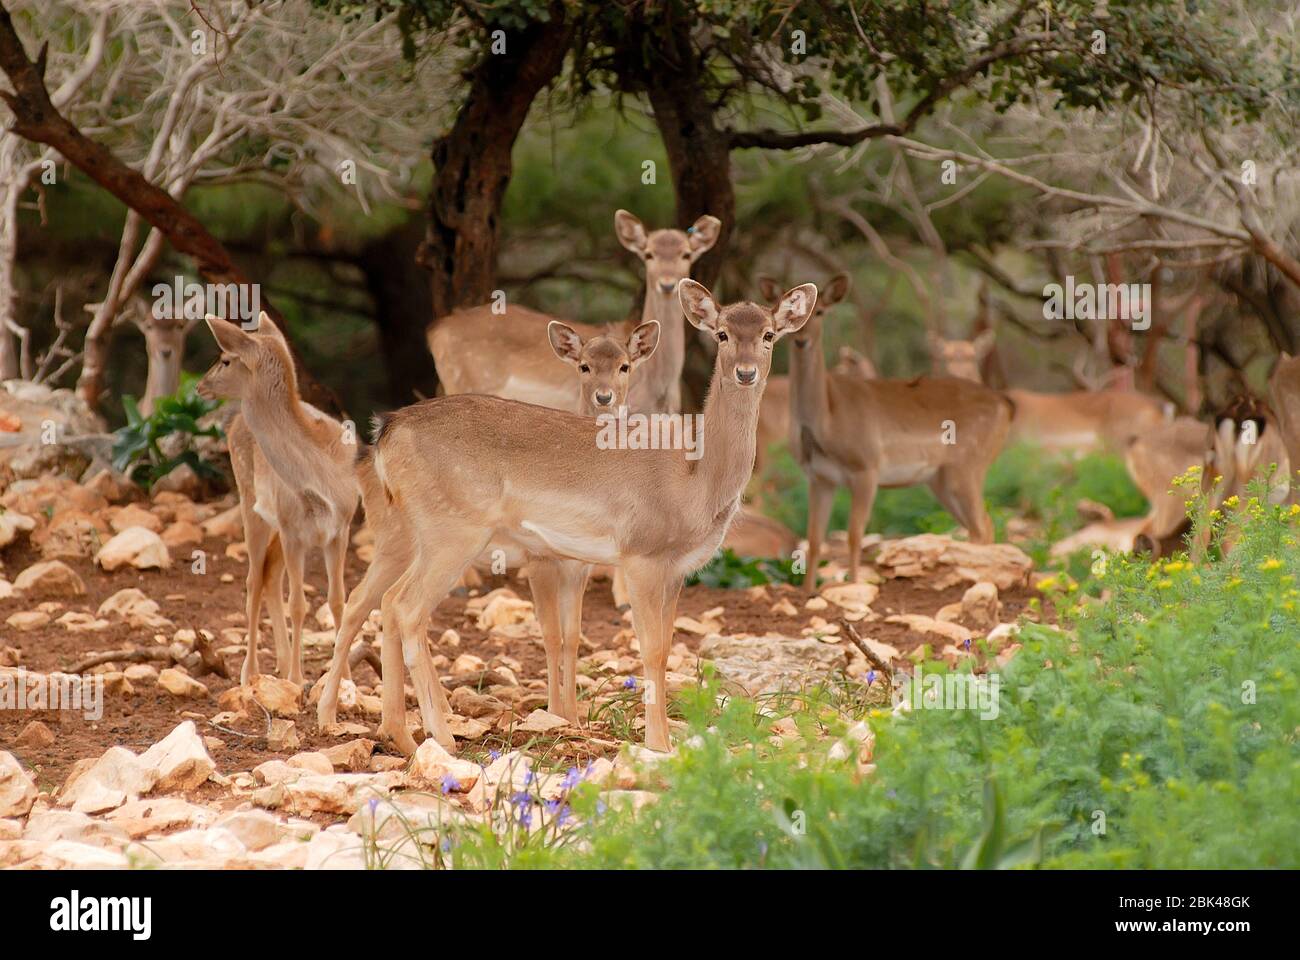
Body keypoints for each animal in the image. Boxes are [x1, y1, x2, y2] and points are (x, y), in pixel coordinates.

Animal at [192, 310, 358, 686]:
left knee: (269, 575)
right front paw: (297, 680)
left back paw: (280, 663)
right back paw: (251, 672)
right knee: (253, 580)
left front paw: (346, 678)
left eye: (225, 359)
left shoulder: (340, 528)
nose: (199, 385)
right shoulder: (292, 530)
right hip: (250, 501)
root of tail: (236, 423)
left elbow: (337, 600)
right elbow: (299, 603)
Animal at [313, 314, 660, 749]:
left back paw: (366, 720)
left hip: (407, 543)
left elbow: (573, 634)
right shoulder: (539, 558)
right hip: (419, 538)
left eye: (625, 366)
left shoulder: (578, 564)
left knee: (371, 601)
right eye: (583, 365)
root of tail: (381, 435)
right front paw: (556, 714)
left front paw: (574, 716)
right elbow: (551, 634)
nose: (604, 398)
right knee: (389, 604)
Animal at [369, 274, 811, 749]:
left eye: (769, 334)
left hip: (421, 529)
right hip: (452, 528)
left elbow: (666, 646)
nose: (745, 372)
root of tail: (387, 431)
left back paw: (399, 733)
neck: (694, 480)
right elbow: (652, 650)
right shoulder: (640, 554)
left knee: (388, 600)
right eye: (723, 334)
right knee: (407, 607)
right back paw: (442, 738)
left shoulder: (677, 570)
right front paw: (658, 744)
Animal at [759, 273, 1013, 587]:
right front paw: (809, 591)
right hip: (940, 481)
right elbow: (815, 539)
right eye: (782, 309)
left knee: (984, 525)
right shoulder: (820, 479)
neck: (826, 416)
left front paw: (854, 585)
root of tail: (1005, 405)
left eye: (820, 311)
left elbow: (855, 536)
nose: (801, 340)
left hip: (966, 472)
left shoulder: (867, 472)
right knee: (977, 529)